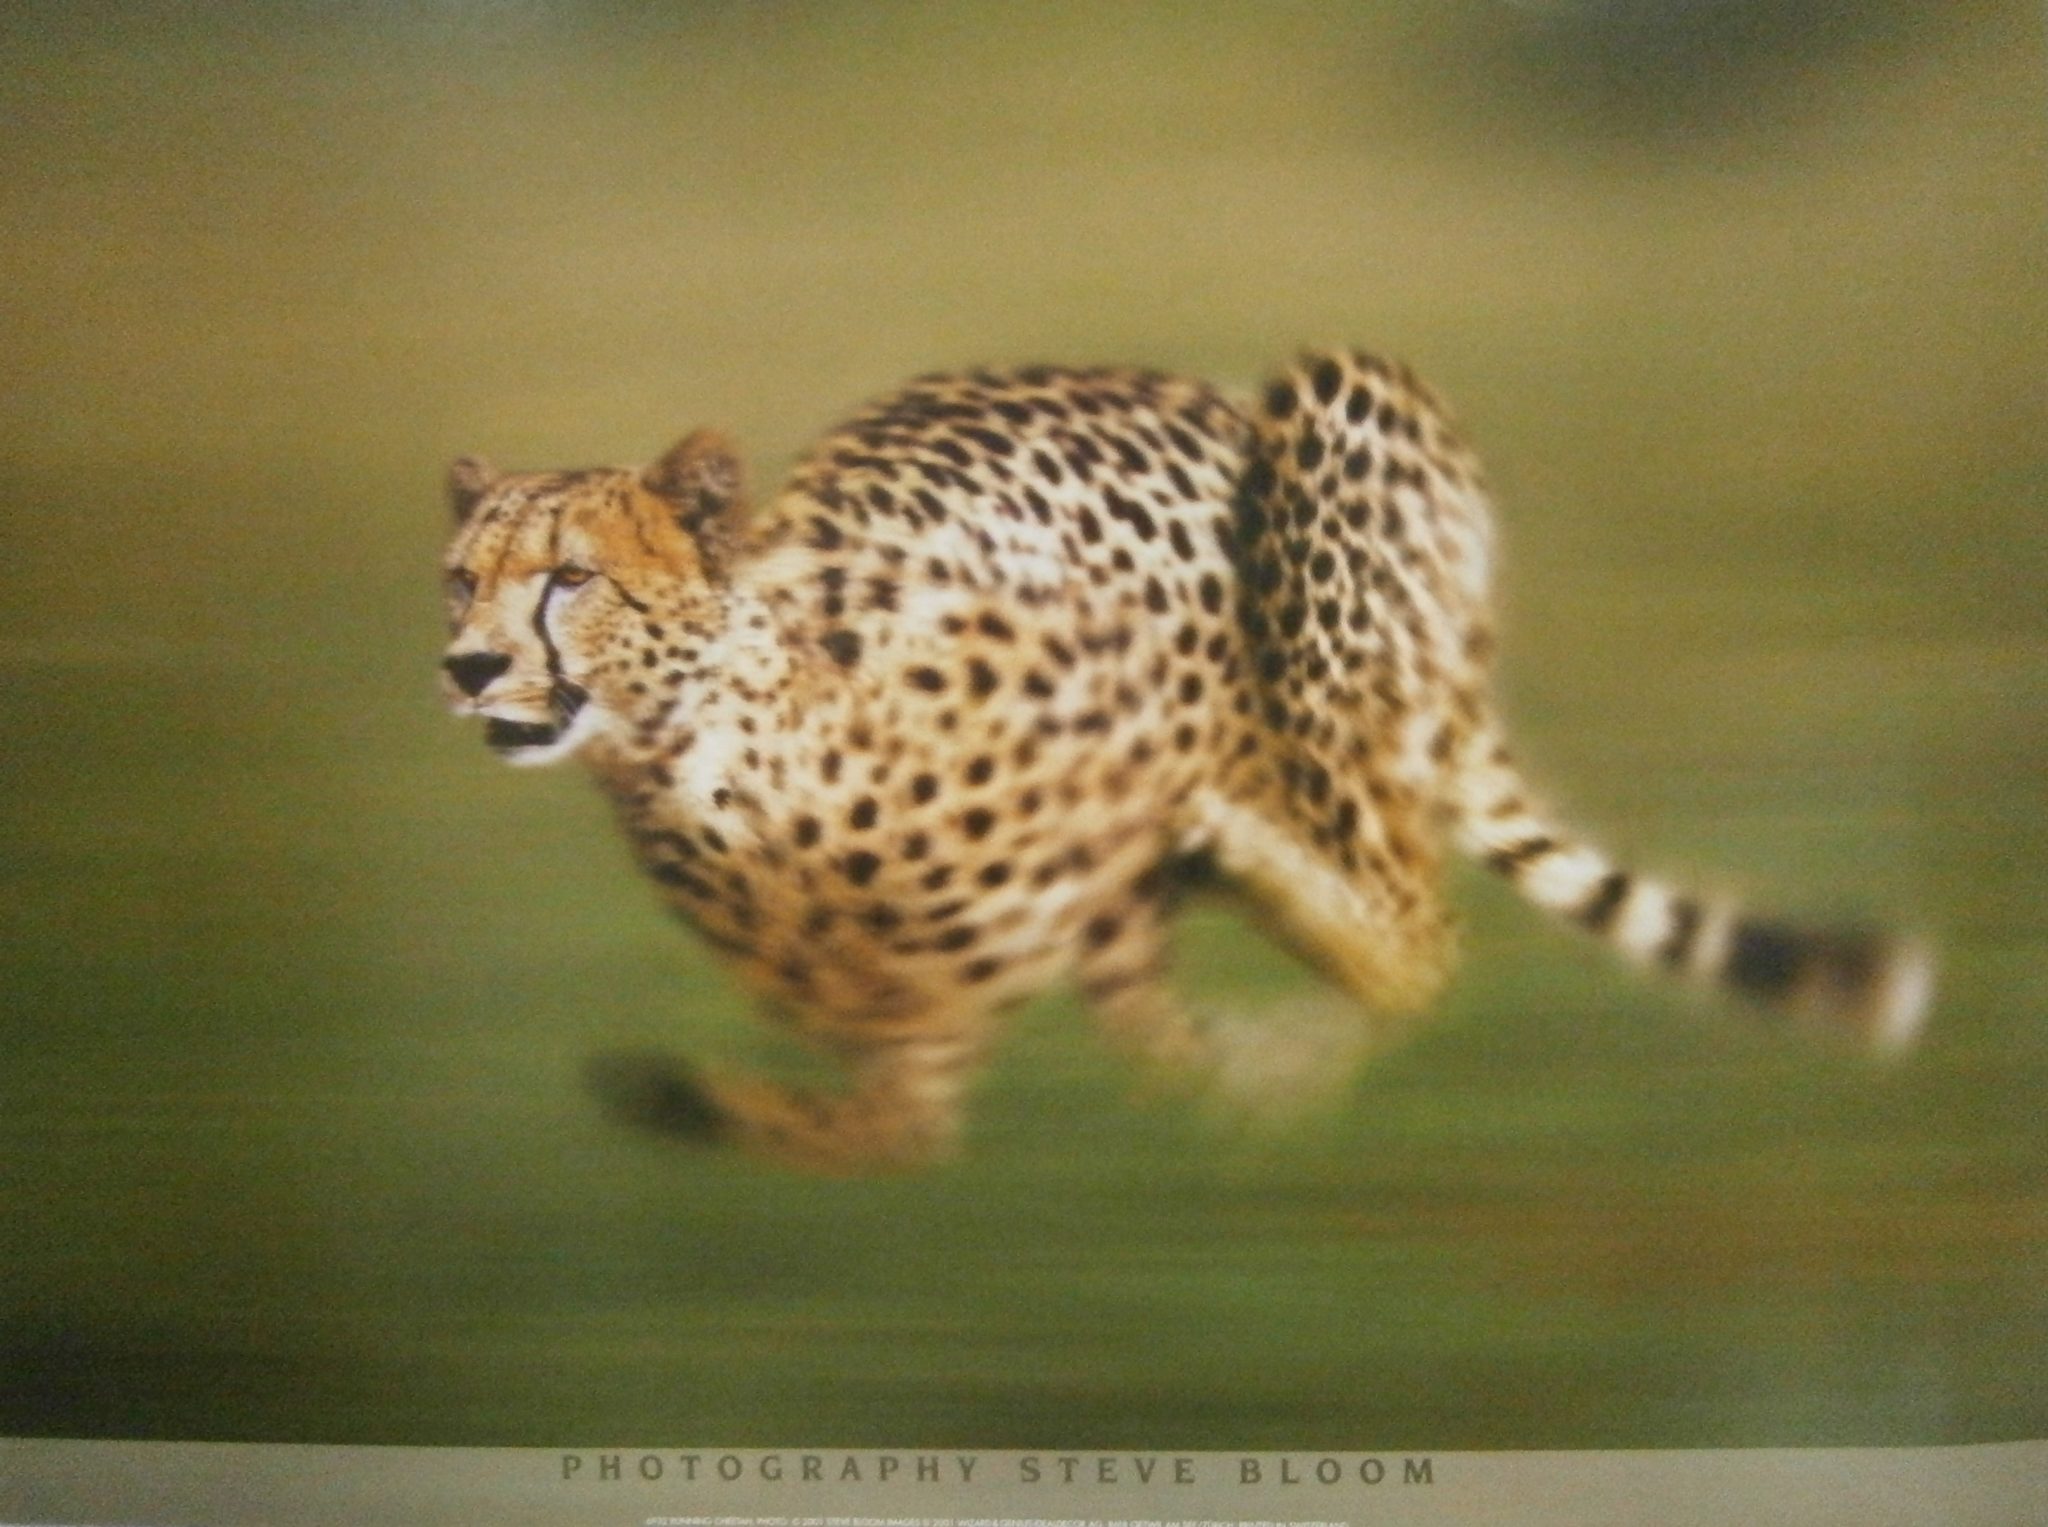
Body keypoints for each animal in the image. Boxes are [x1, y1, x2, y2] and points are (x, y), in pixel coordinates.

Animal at [437, 351, 1932, 1173]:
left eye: (569, 578)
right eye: (462, 580)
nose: (466, 667)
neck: (710, 761)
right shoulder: (934, 1015)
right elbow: (905, 1112)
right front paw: (669, 1094)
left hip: (1334, 441)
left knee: (1414, 919)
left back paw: (1268, 866)